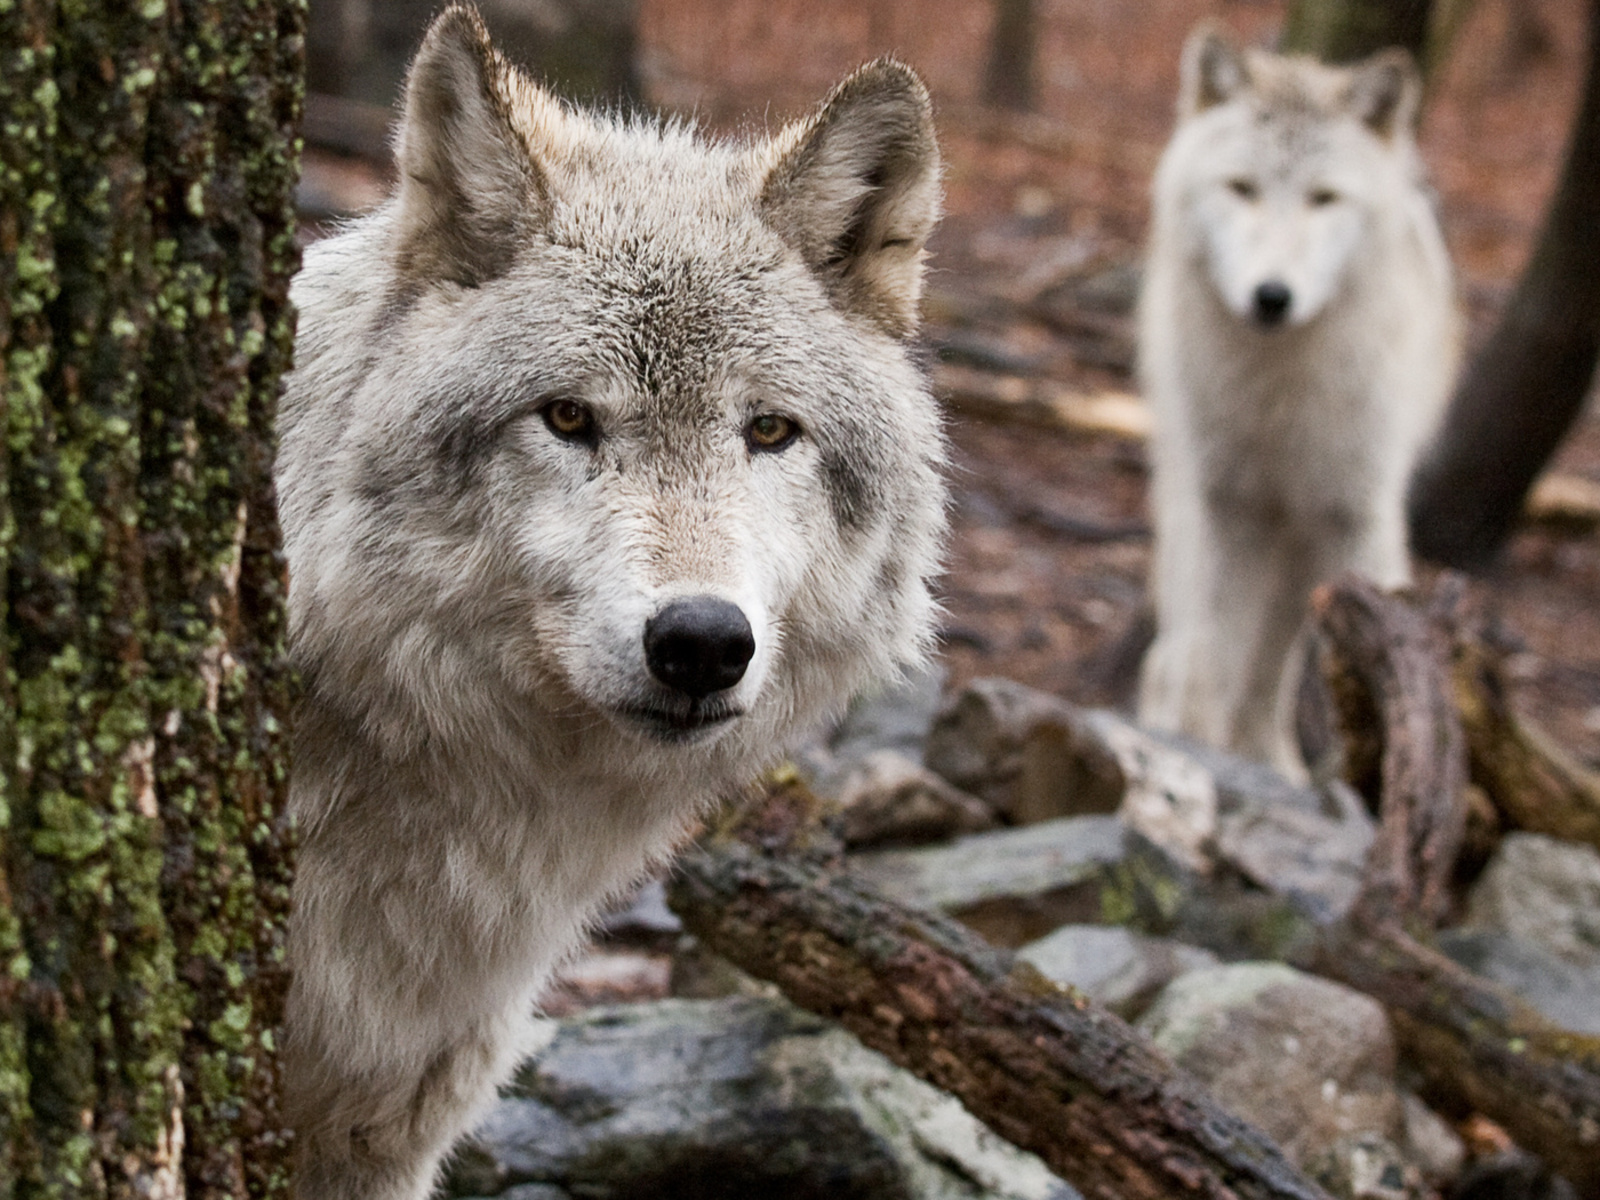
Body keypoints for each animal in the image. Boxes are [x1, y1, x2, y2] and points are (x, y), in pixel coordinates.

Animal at [1137, 25, 1459, 780]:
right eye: (1241, 188)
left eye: (1324, 198)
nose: (1272, 296)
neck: (1280, 398)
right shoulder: (1229, 506)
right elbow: (1210, 658)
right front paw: (1195, 749)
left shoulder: (1354, 515)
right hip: (1192, 499)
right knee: (1177, 646)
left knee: (1272, 663)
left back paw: (1270, 755)